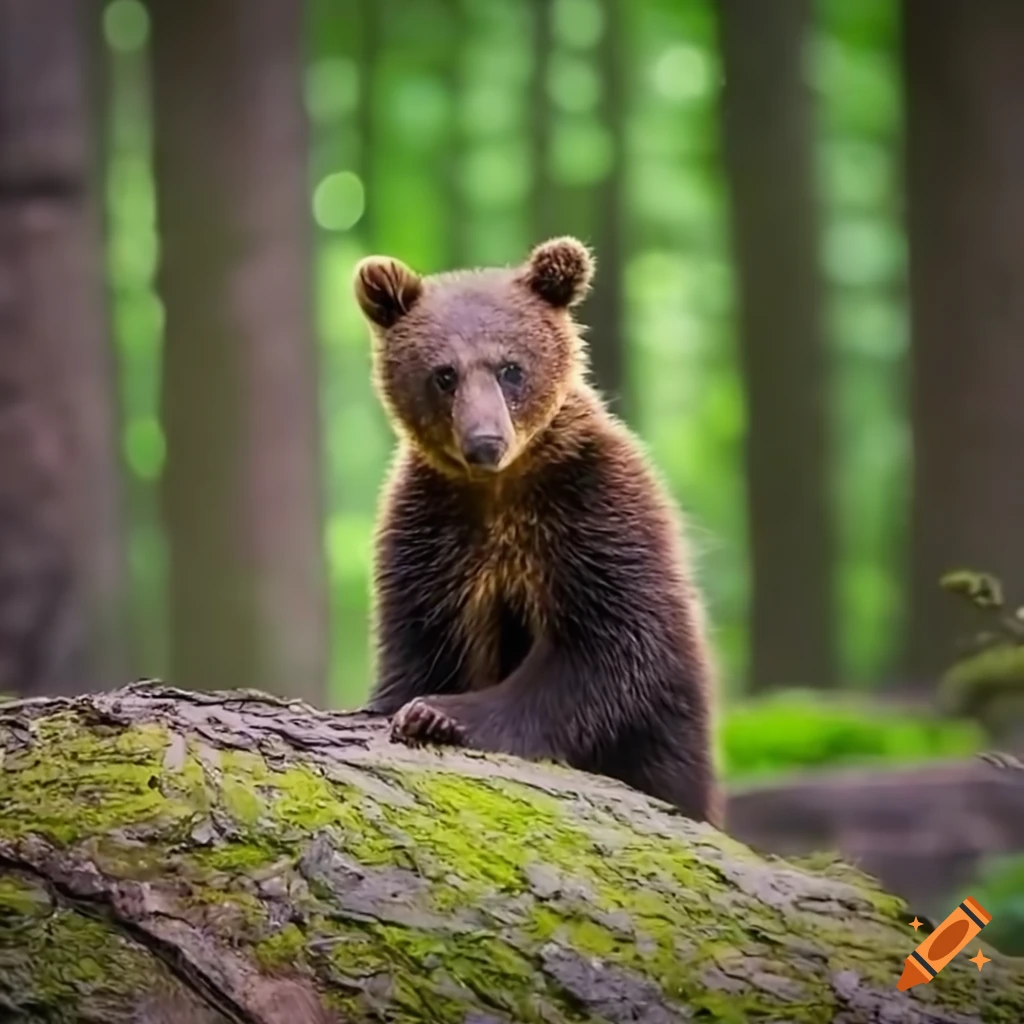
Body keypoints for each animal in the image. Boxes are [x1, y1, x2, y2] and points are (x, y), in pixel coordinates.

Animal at [353, 236, 722, 826]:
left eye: (510, 368)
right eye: (444, 374)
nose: (485, 442)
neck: (499, 492)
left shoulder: (589, 511)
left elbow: (607, 646)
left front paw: (439, 713)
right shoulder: (432, 533)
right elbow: (420, 641)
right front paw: (415, 705)